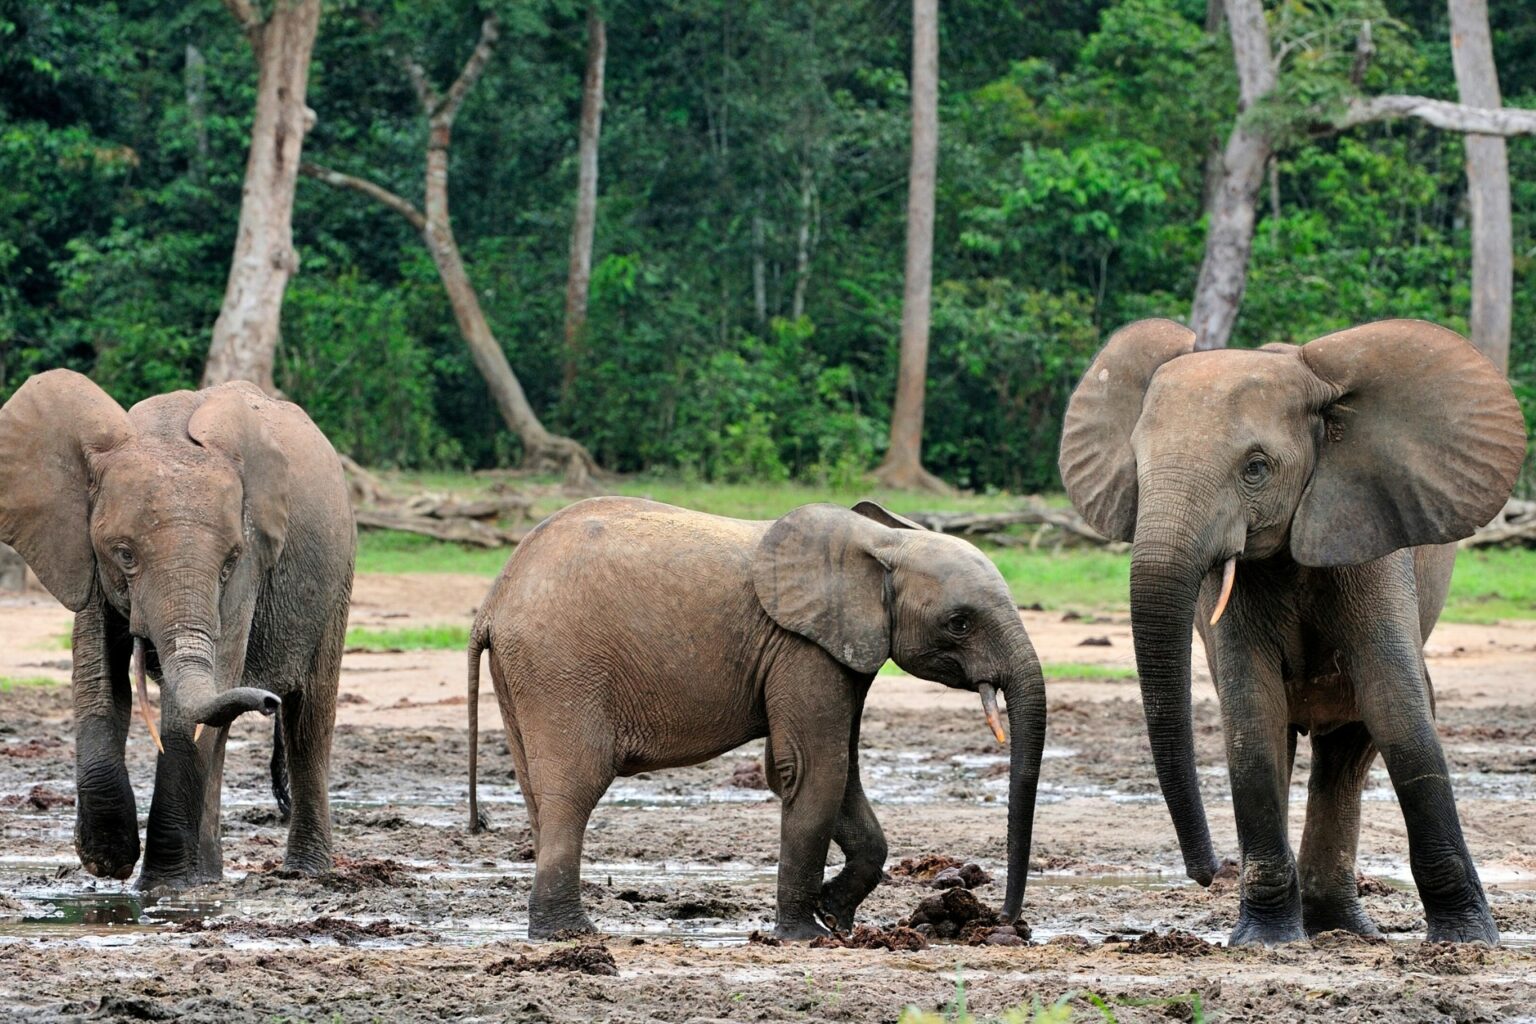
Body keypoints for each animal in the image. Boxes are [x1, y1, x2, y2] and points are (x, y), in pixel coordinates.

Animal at [0, 371, 356, 891]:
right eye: (124, 554)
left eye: (229, 561)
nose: (266, 699)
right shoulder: (85, 556)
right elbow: (98, 681)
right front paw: (109, 860)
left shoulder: (249, 568)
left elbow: (194, 703)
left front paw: (161, 886)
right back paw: (207, 877)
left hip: (338, 576)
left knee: (308, 717)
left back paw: (301, 872)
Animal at [466, 497, 1047, 940]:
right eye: (959, 623)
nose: (1005, 922)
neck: (883, 545)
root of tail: (492, 602)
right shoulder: (801, 647)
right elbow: (814, 769)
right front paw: (806, 936)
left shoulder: (840, 648)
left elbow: (837, 771)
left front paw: (835, 917)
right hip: (561, 666)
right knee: (574, 787)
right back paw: (570, 934)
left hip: (526, 673)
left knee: (537, 790)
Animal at [1059, 318, 1525, 945]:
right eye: (1137, 466)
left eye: (1255, 468)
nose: (1206, 873)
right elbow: (1252, 721)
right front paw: (1264, 940)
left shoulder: (1368, 531)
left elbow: (1400, 713)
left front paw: (1468, 940)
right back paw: (1322, 927)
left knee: (1352, 742)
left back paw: (1343, 930)